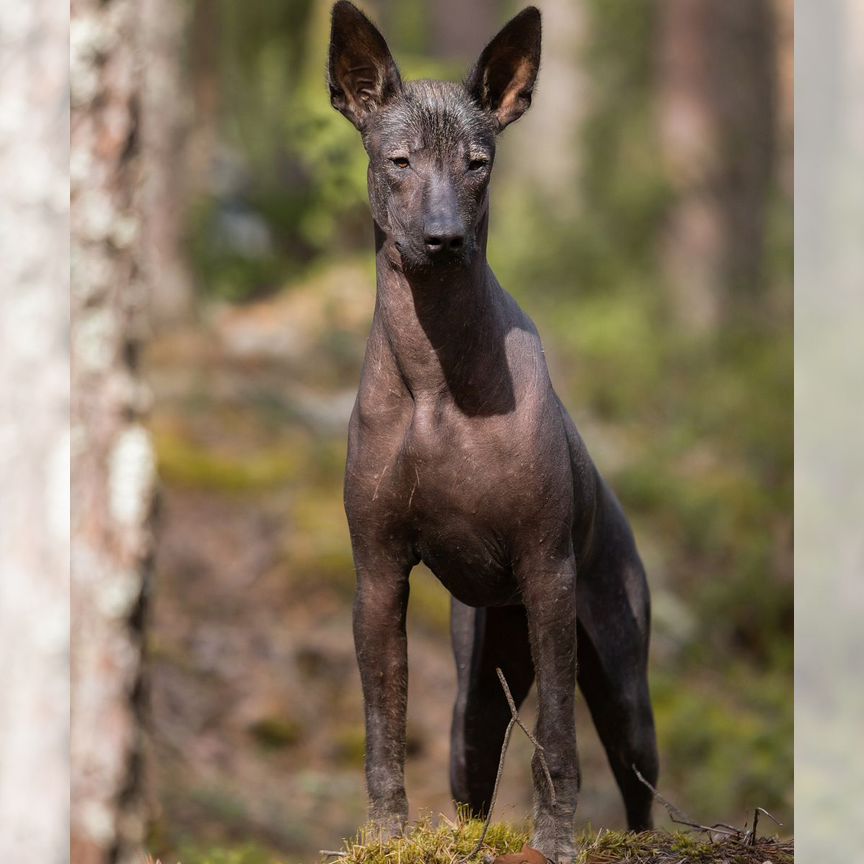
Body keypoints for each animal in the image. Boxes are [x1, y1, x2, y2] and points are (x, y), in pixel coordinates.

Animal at [328, 5, 660, 856]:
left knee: (638, 785)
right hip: (475, 694)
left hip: (621, 682)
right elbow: (382, 729)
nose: (445, 237)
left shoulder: (547, 575)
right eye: (399, 160)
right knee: (473, 774)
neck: (437, 373)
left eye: (478, 164)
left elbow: (558, 746)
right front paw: (387, 833)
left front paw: (557, 837)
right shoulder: (378, 575)